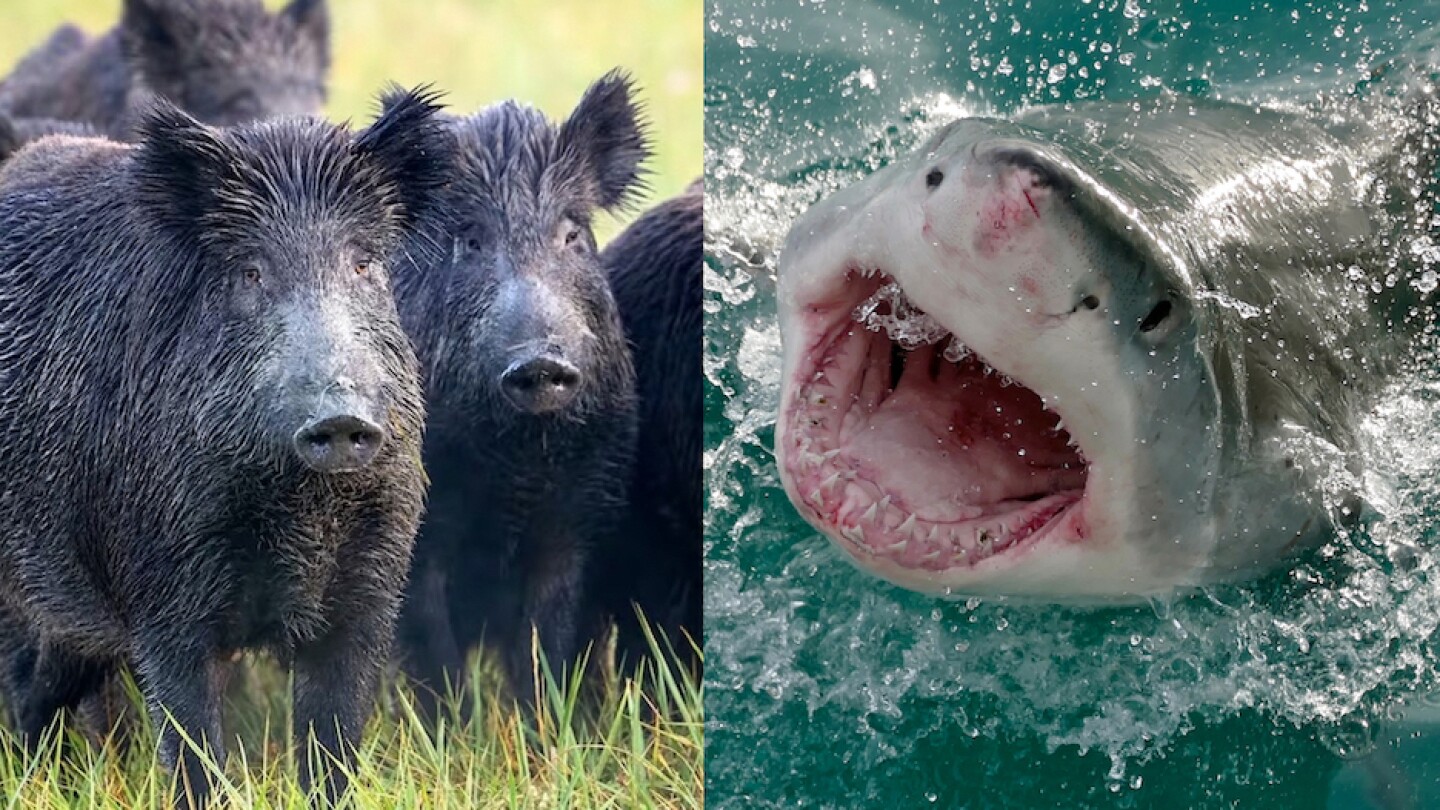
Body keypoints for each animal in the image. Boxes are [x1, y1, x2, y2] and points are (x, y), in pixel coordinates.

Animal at [0, 88, 449, 806]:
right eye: (251, 272)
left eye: (364, 263)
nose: (341, 417)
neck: (301, 511)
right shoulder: (165, 596)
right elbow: (192, 750)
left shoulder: (369, 590)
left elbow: (332, 747)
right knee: (27, 685)